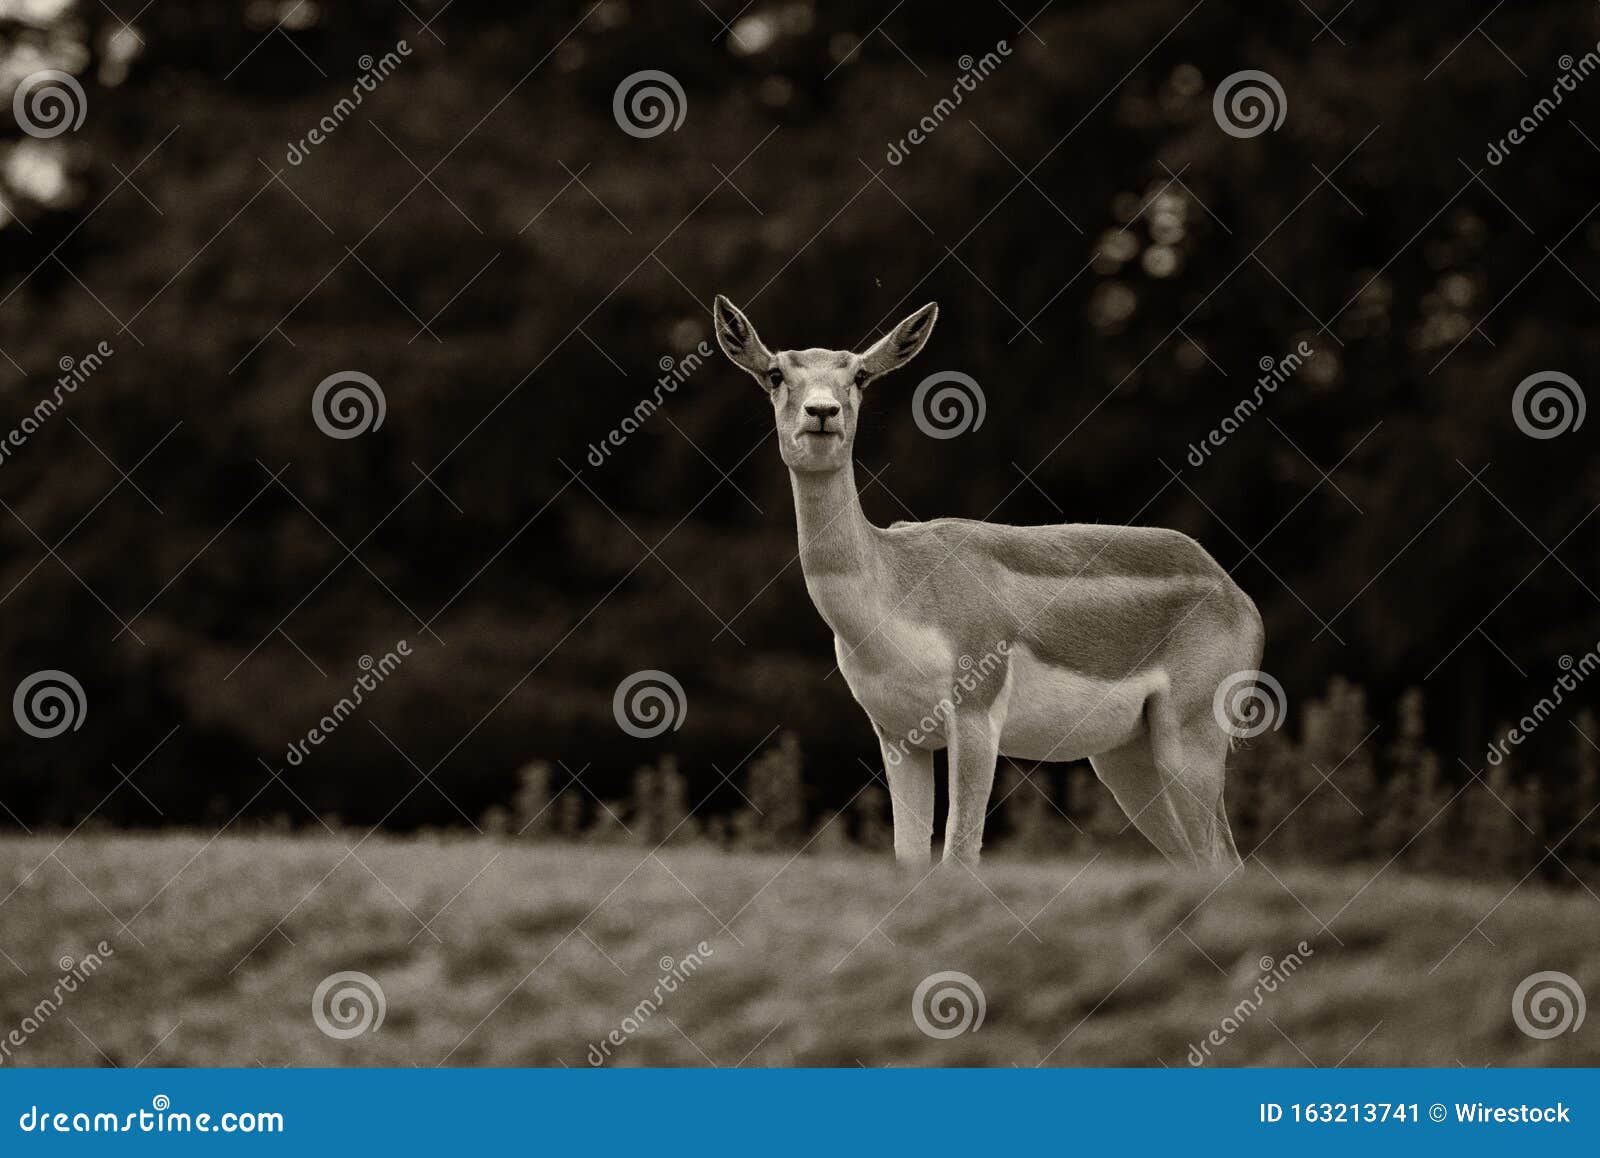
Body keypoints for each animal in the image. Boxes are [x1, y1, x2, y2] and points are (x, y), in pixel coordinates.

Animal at [712, 295, 1265, 870]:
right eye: (776, 373)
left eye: (859, 374)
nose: (822, 413)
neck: (898, 582)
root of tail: (1232, 591)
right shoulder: (899, 737)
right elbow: (910, 859)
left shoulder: (975, 720)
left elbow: (958, 857)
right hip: (1126, 760)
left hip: (1188, 745)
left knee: (1225, 861)